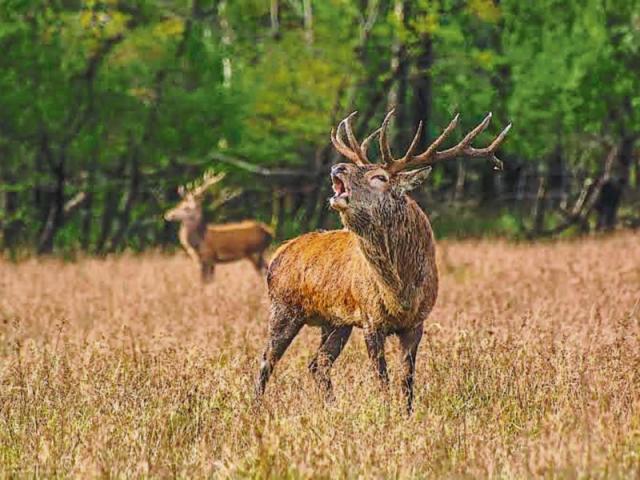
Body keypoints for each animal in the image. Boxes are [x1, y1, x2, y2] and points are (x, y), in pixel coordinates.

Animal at [255, 109, 510, 413]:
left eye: (379, 177)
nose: (337, 168)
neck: (399, 292)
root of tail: (278, 253)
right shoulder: (370, 319)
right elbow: (382, 379)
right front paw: (387, 413)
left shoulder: (416, 323)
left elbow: (407, 380)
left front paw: (407, 414)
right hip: (283, 307)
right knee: (266, 361)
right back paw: (255, 408)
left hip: (335, 321)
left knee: (318, 363)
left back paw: (332, 407)